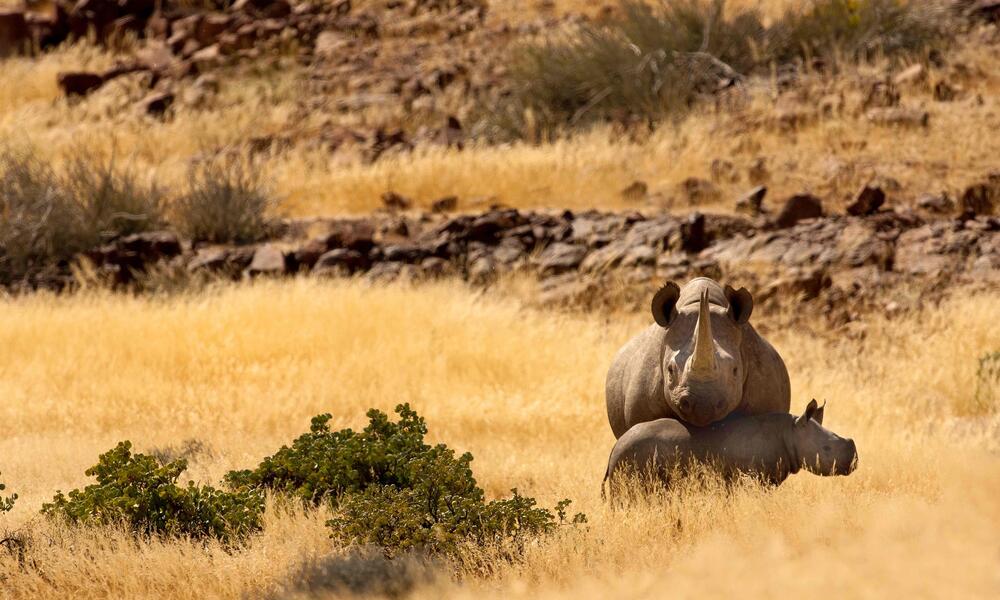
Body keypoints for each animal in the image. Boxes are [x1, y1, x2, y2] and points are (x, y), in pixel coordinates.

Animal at [603, 399, 858, 496]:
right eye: (827, 449)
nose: (855, 463)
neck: (792, 431)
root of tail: (614, 448)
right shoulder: (757, 477)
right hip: (631, 456)